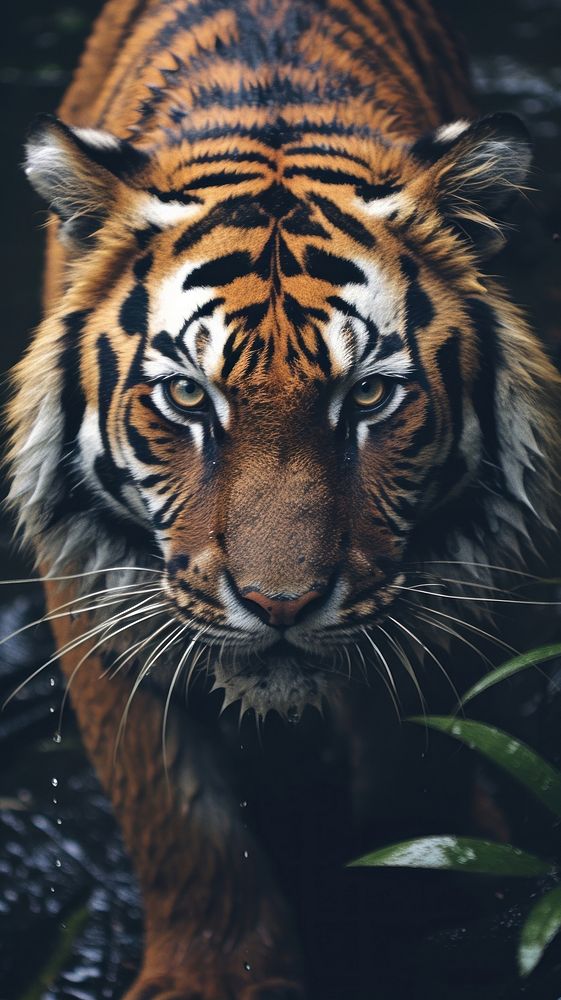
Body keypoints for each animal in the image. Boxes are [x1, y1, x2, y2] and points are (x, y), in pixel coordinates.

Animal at [8, 0, 561, 996]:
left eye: (368, 397)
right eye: (188, 398)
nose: (279, 605)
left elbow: (409, 763)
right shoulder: (96, 599)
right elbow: (177, 823)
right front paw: (209, 974)